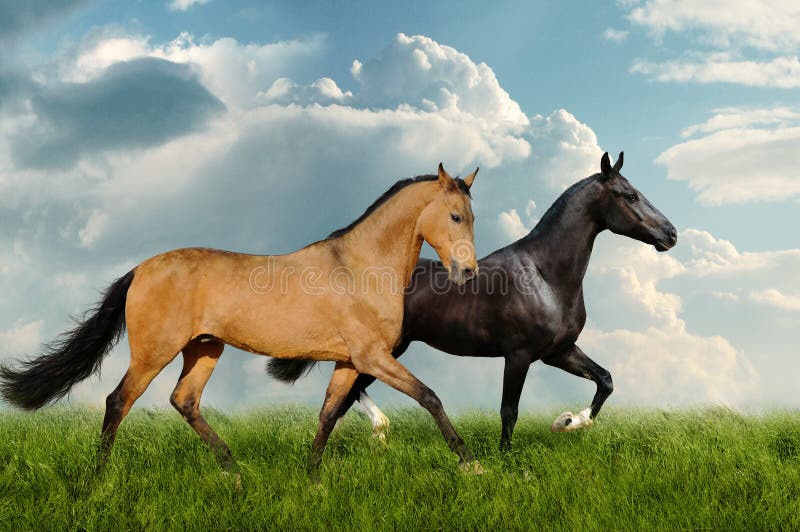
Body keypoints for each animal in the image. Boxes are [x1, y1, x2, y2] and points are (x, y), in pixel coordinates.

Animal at [0, 164, 484, 476]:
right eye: (455, 216)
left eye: (472, 217)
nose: (468, 272)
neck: (359, 267)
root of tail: (139, 270)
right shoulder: (373, 357)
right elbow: (430, 397)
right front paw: (470, 463)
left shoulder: (349, 362)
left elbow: (328, 415)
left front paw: (311, 477)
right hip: (155, 352)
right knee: (119, 401)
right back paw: (98, 477)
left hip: (204, 348)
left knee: (184, 401)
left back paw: (235, 470)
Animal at [268, 152, 678, 449]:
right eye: (630, 195)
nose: (671, 234)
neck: (544, 275)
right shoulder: (519, 356)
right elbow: (509, 412)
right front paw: (507, 460)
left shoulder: (558, 351)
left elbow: (605, 380)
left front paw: (566, 421)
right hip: (386, 350)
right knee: (350, 394)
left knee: (351, 394)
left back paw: (375, 435)